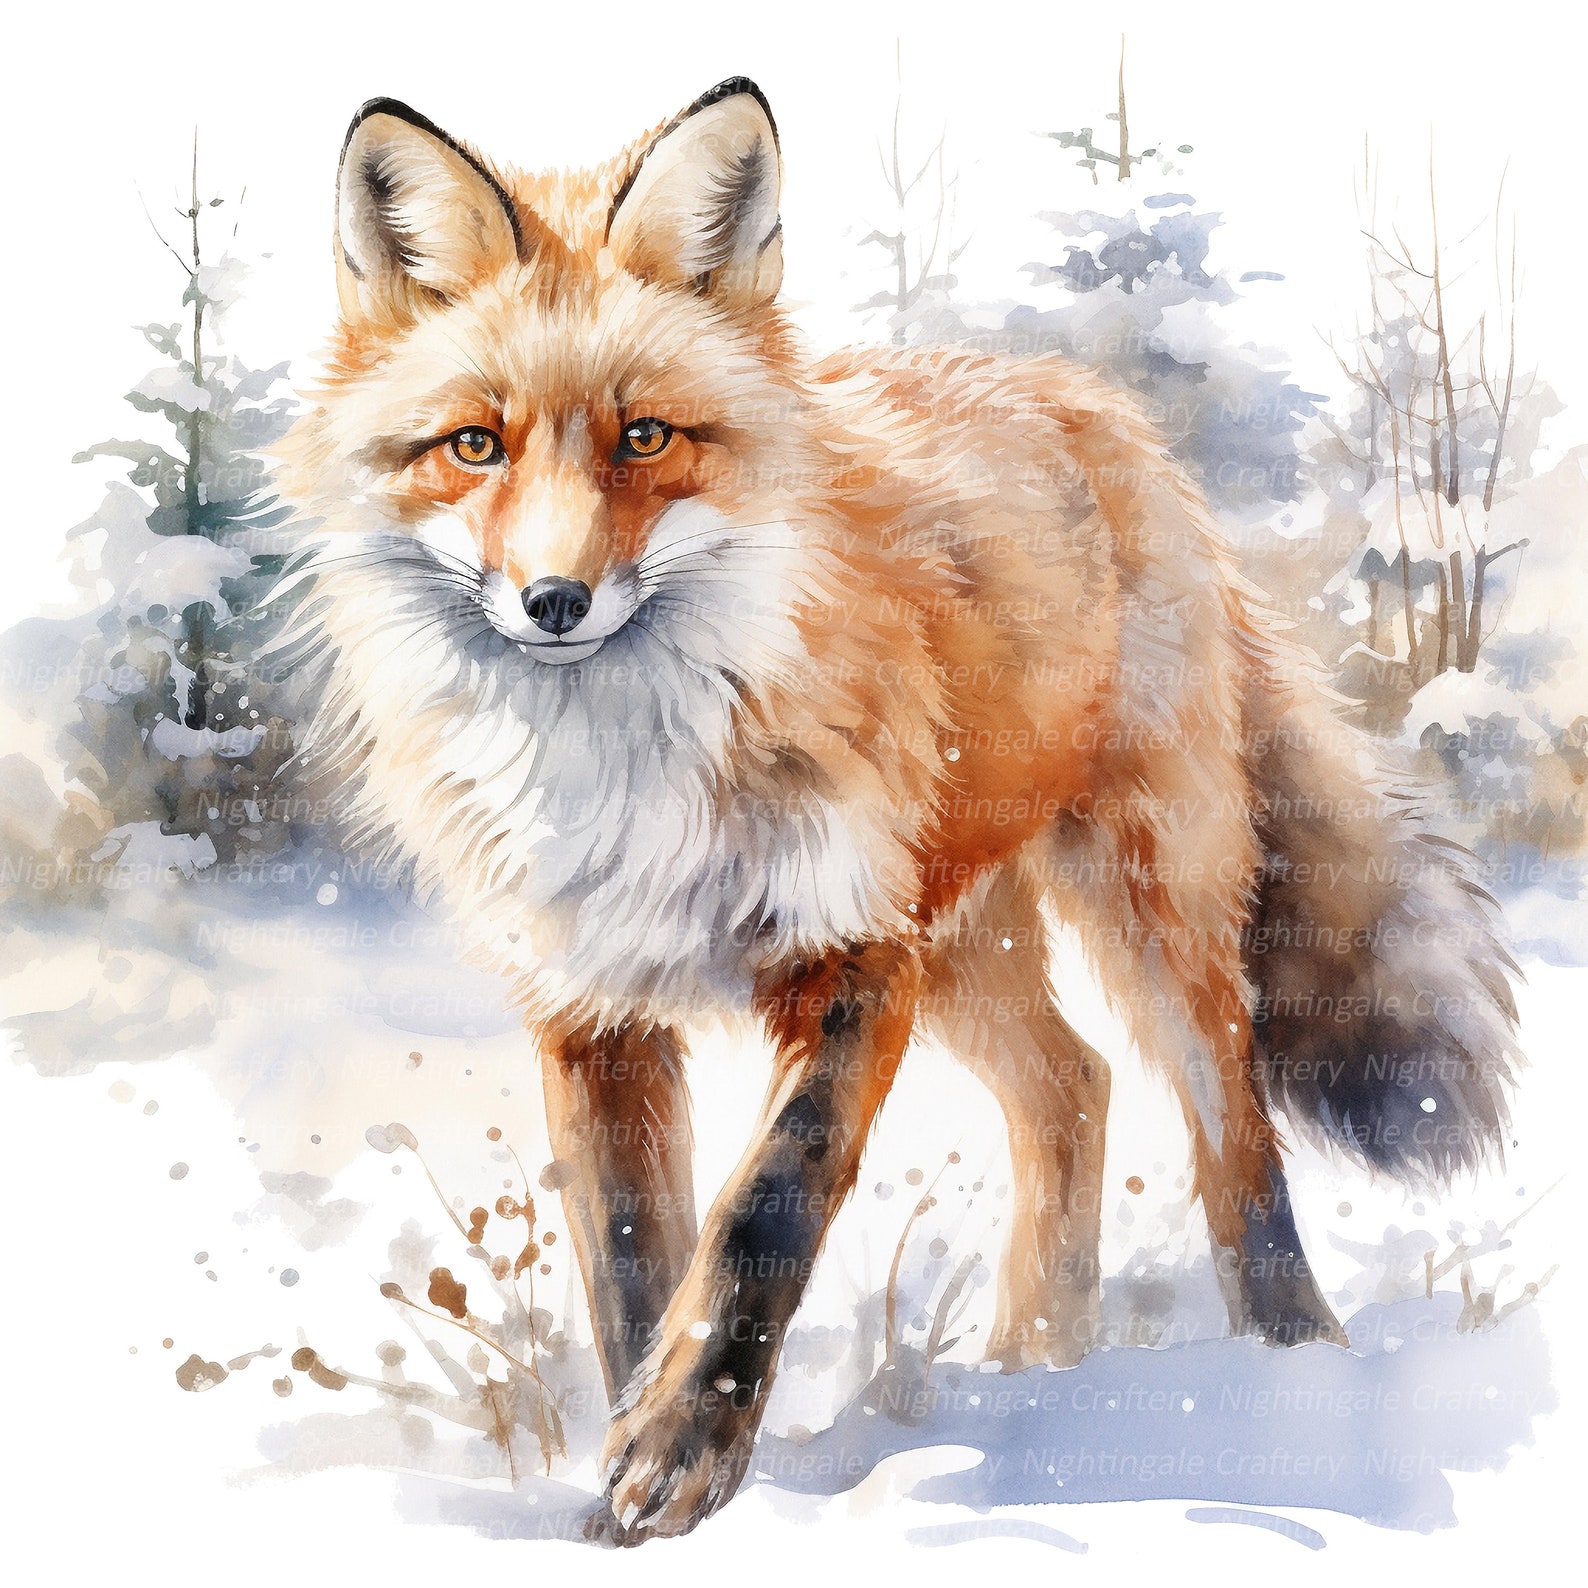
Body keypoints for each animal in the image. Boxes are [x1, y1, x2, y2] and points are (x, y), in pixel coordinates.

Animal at [276, 79, 1520, 1543]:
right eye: (474, 446)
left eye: (646, 437)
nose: (555, 603)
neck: (628, 772)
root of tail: (1090, 406)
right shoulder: (592, 1006)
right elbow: (633, 1259)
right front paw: (631, 1458)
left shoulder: (852, 955)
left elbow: (764, 1209)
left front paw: (684, 1449)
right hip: (966, 942)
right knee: (1074, 1088)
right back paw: (1040, 1362)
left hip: (1138, 908)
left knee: (1231, 1128)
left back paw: (1290, 1377)